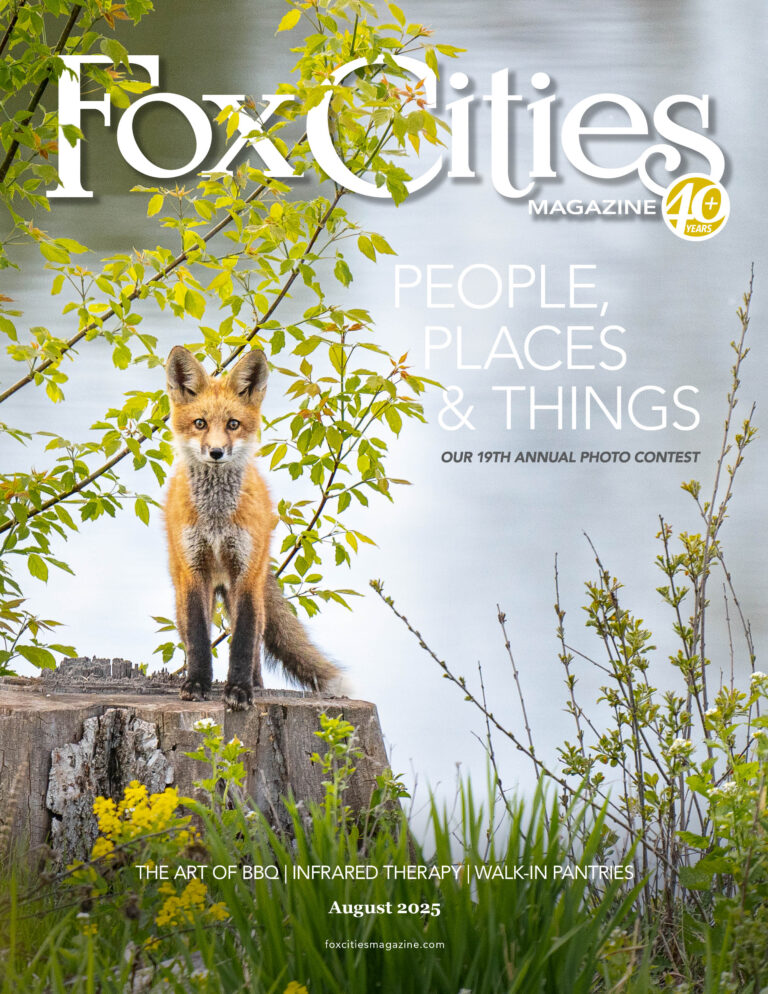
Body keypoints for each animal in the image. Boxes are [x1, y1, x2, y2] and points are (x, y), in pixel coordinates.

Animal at [164, 344, 342, 710]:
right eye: (200, 423)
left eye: (233, 424)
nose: (216, 452)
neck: (216, 520)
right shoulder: (194, 570)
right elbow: (200, 637)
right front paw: (197, 684)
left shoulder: (245, 573)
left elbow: (244, 640)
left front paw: (240, 691)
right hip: (184, 588)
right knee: (190, 633)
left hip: (250, 584)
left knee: (257, 639)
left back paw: (257, 685)